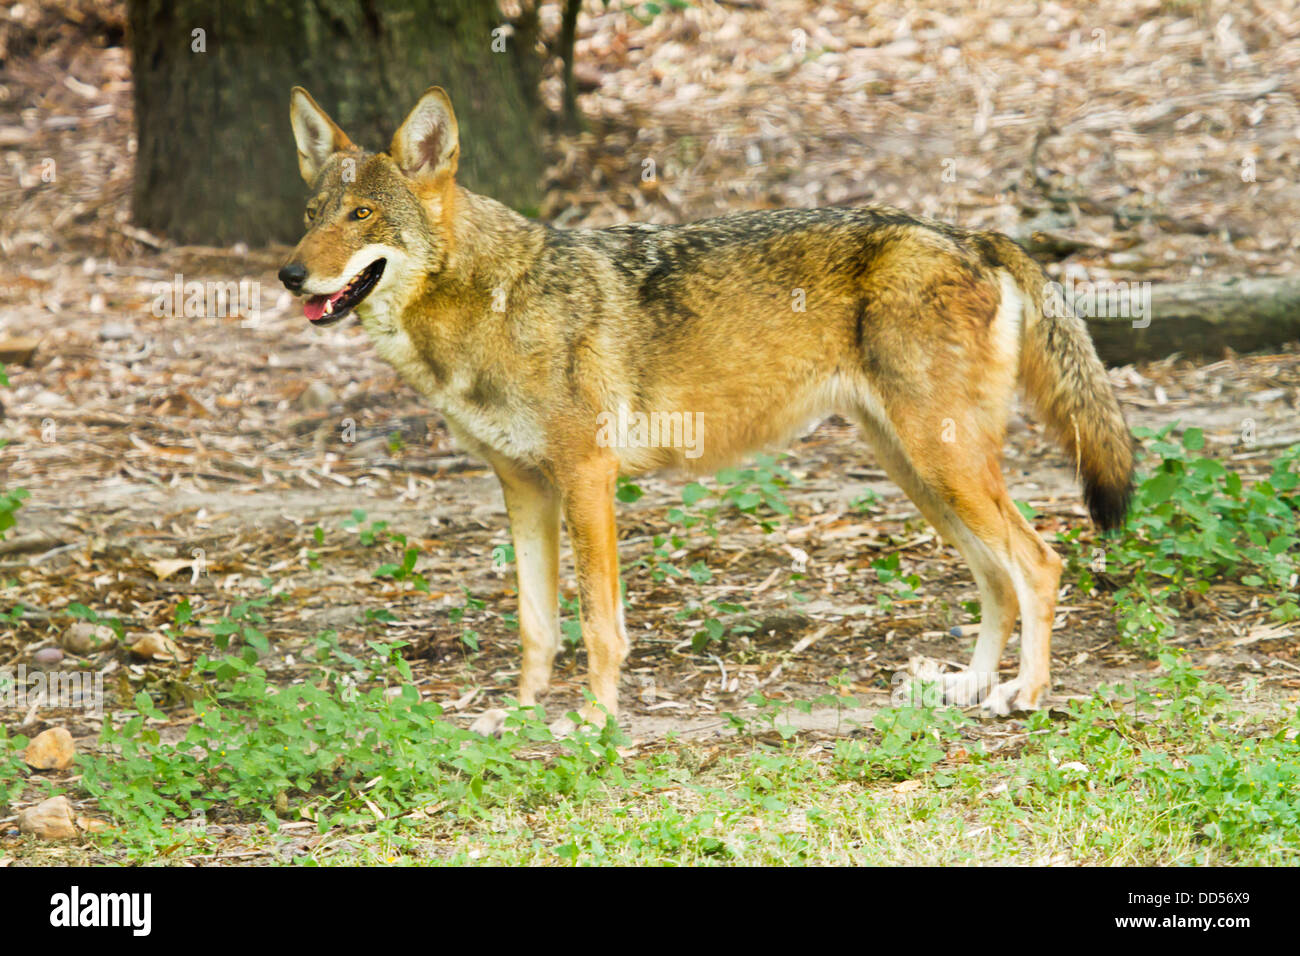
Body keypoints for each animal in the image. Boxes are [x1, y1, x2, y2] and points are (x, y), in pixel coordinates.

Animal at [279, 86, 1133, 734]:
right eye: (313, 211)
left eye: (361, 217)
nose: (288, 275)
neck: (490, 304)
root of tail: (973, 233)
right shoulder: (522, 489)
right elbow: (535, 625)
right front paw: (520, 715)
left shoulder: (587, 480)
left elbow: (597, 623)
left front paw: (594, 720)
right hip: (919, 474)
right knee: (996, 578)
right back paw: (970, 682)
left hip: (943, 465)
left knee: (1040, 563)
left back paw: (1026, 694)